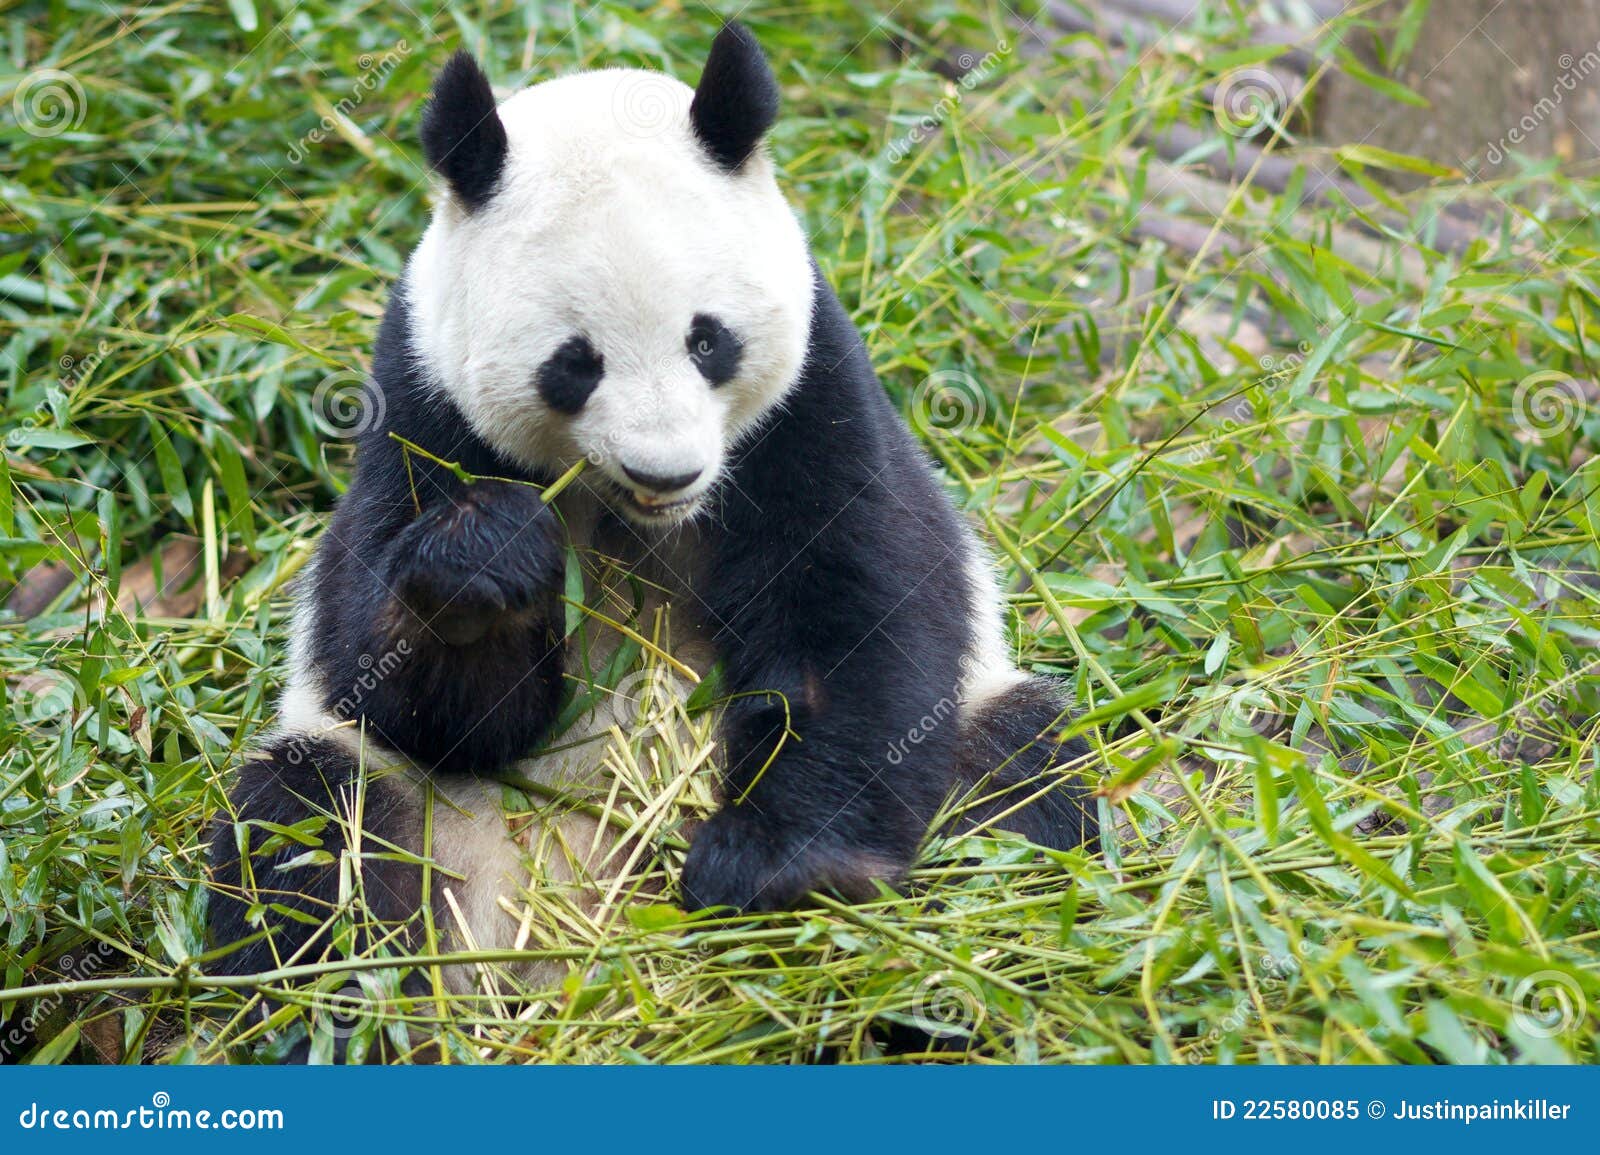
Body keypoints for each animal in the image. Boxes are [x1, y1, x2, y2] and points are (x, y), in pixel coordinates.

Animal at [208, 23, 1095, 1010]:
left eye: (707, 340)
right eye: (575, 362)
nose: (665, 469)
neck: (642, 516)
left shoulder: (814, 403)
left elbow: (861, 616)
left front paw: (775, 868)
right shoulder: (422, 404)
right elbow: (406, 687)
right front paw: (482, 562)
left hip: (985, 745)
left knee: (1022, 796)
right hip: (421, 825)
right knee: (309, 845)